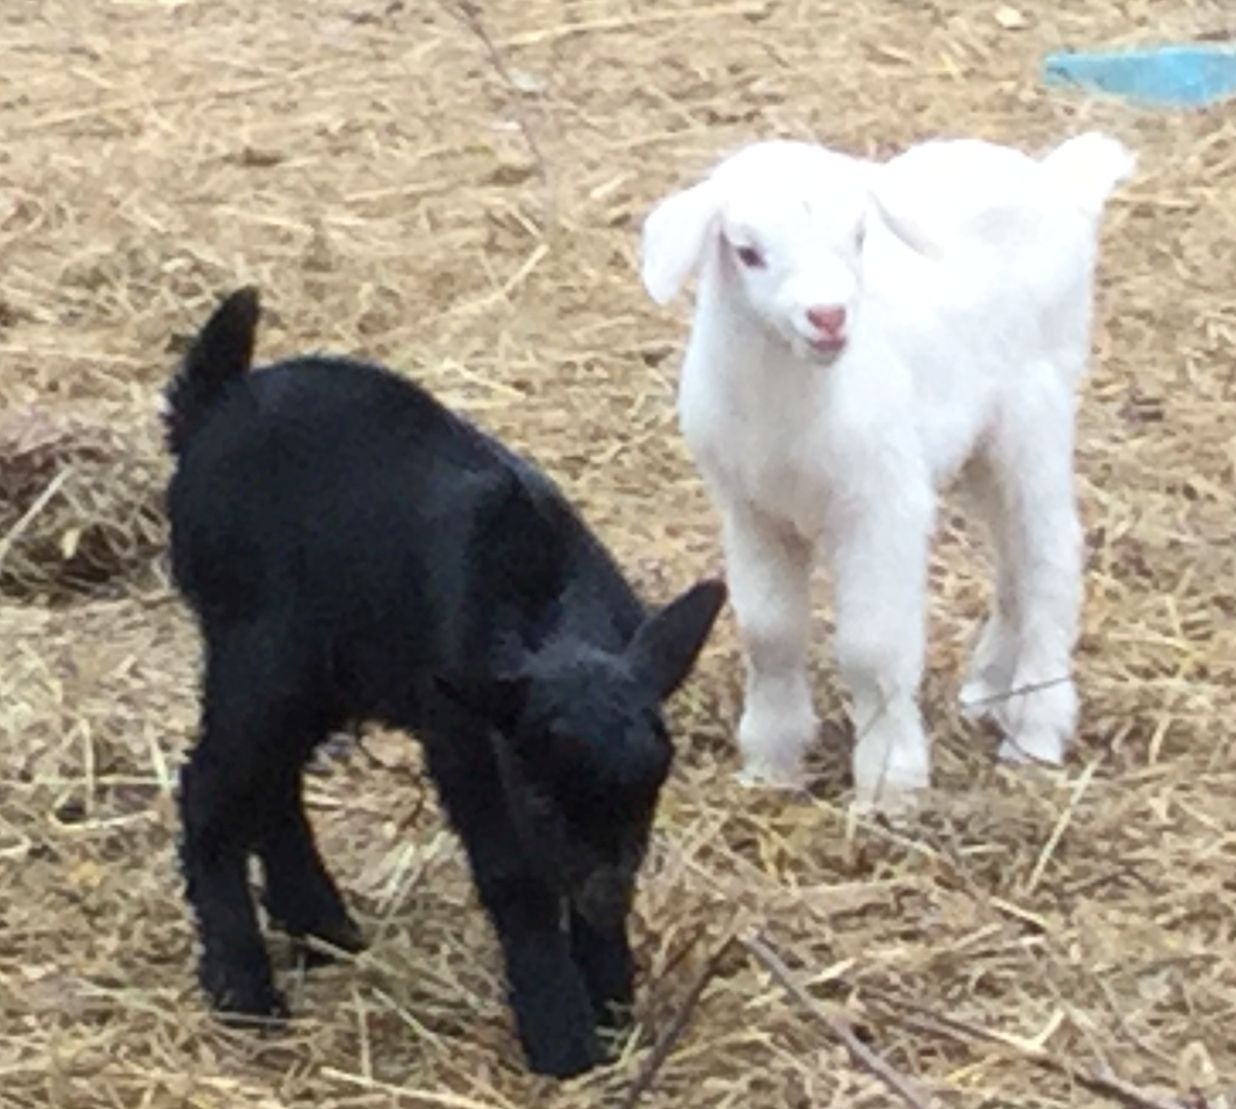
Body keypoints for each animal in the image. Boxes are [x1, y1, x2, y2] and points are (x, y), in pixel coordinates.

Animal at [165, 288, 726, 1076]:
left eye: (653, 790)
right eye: (542, 799)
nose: (608, 892)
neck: (547, 600)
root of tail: (213, 405)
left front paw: (613, 1002)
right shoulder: (465, 739)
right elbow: (515, 879)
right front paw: (564, 1037)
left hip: (321, 672)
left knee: (270, 784)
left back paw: (321, 928)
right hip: (258, 651)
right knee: (210, 790)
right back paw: (244, 986)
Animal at [640, 134, 1133, 808]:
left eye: (857, 236)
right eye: (747, 252)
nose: (828, 317)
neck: (793, 409)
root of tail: (1058, 184)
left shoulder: (883, 503)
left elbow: (872, 647)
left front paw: (889, 783)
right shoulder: (752, 511)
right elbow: (769, 633)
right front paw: (771, 760)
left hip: (1036, 410)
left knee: (1048, 556)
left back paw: (1035, 732)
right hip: (979, 446)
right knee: (1011, 558)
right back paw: (989, 692)